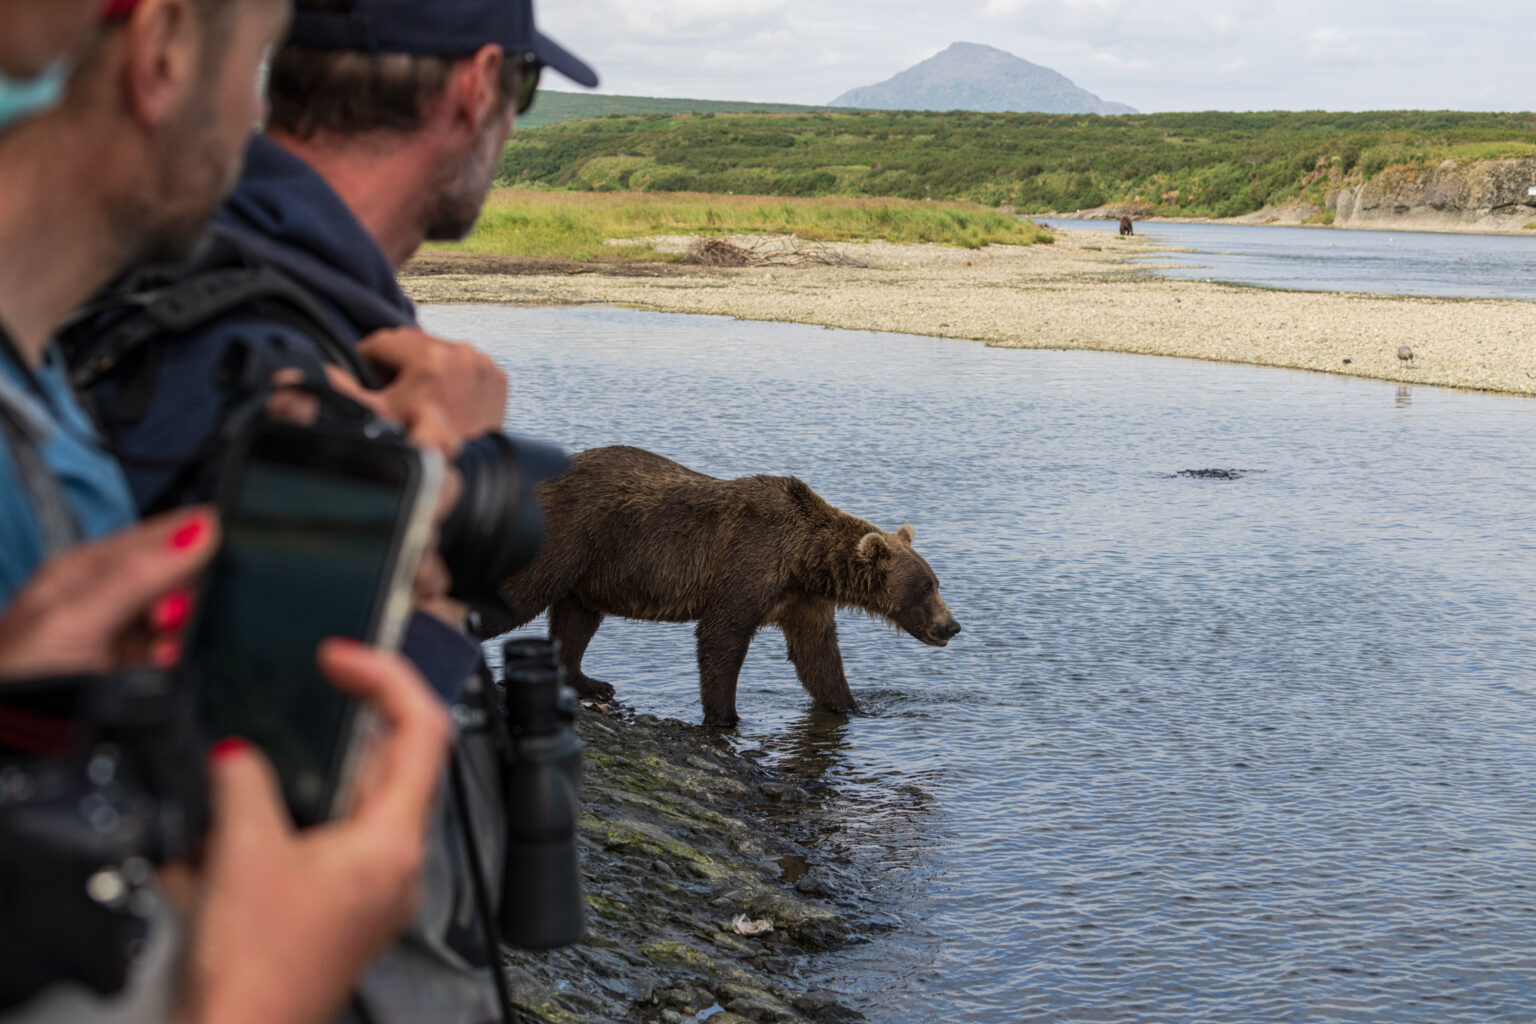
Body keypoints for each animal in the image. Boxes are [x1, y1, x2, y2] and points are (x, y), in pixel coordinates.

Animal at [482, 445, 961, 726]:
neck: (803, 559)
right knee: (520, 594)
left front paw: (854, 705)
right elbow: (722, 635)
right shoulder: (751, 560)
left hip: (592, 565)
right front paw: (727, 716)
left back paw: (590, 682)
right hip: (570, 536)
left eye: (937, 582)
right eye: (926, 587)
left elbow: (818, 655)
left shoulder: (801, 598)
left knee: (576, 617)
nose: (952, 626)